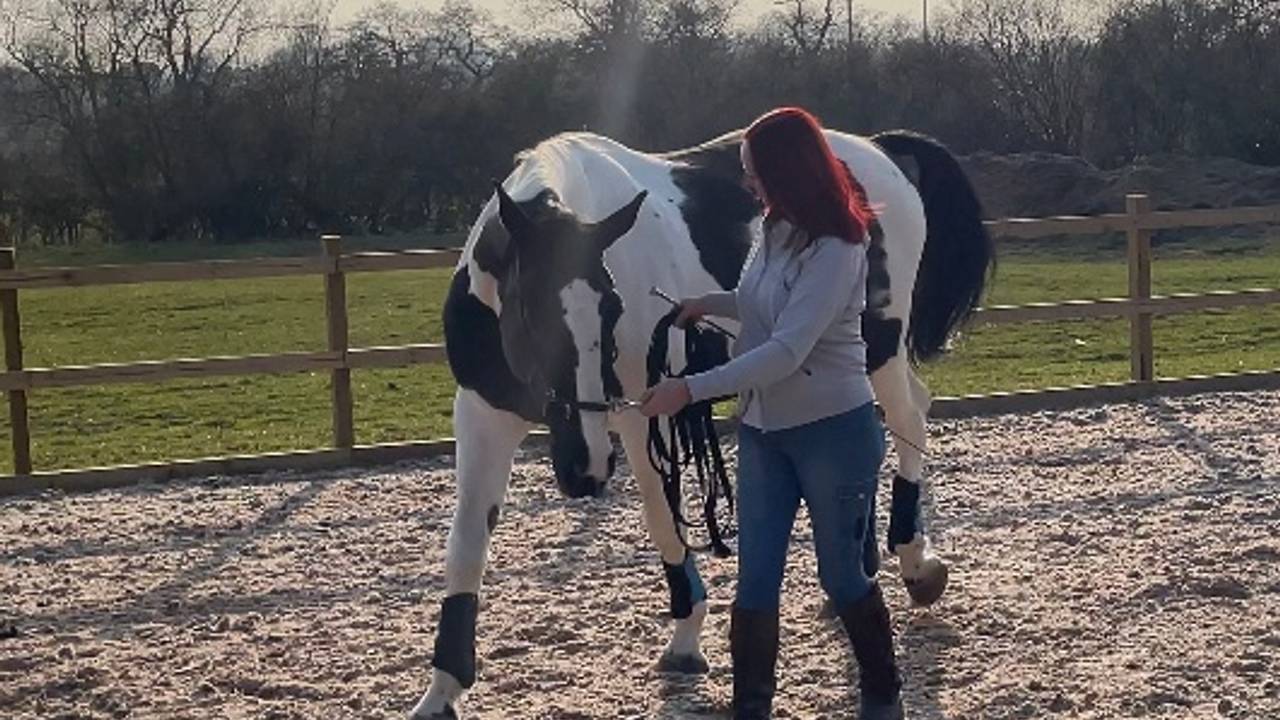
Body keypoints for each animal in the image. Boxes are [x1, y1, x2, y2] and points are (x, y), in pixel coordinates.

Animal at [409, 126, 994, 719]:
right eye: (531, 312)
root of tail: (876, 150)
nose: (585, 468)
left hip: (879, 345)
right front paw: (441, 691)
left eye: (612, 307)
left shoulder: (645, 418)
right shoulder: (482, 414)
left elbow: (663, 517)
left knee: (909, 417)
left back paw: (916, 563)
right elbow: (465, 546)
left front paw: (686, 637)